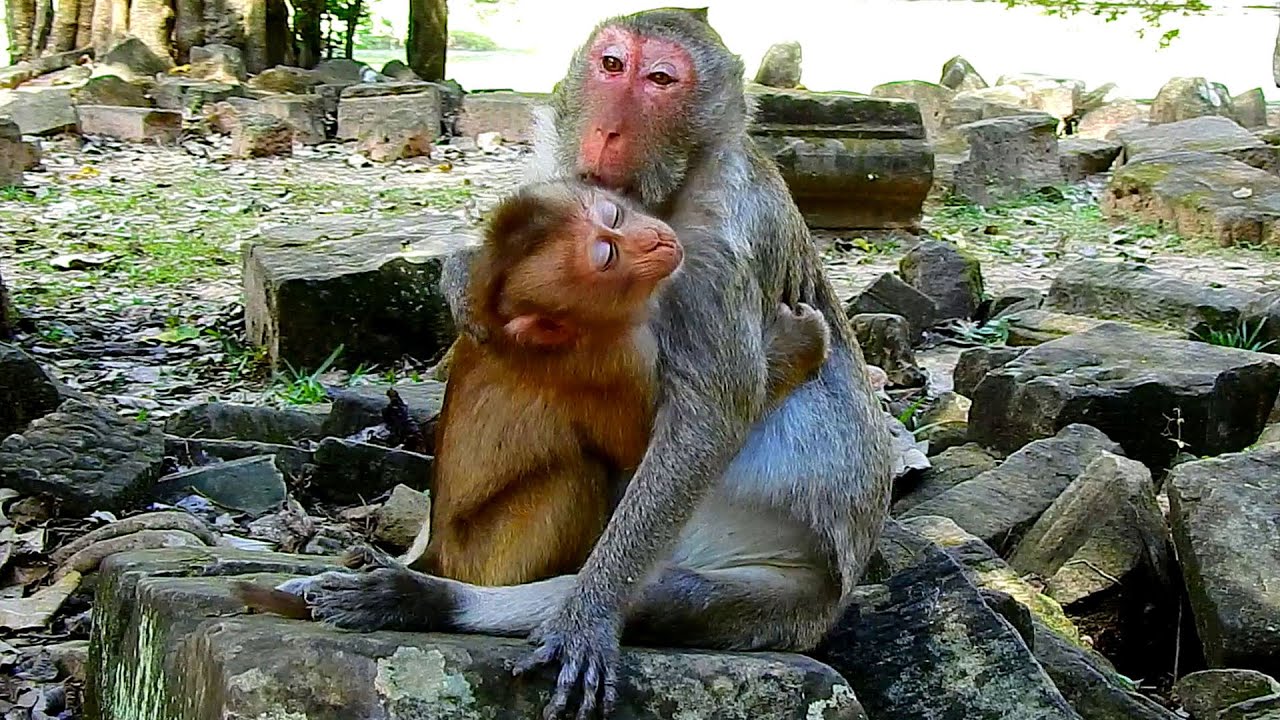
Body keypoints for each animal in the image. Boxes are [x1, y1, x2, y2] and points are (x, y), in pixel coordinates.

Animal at [266, 9, 893, 719]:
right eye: (612, 66)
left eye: (661, 79)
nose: (607, 130)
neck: (669, 191)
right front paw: (464, 282)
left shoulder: (722, 243)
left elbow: (704, 425)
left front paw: (588, 618)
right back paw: (415, 587)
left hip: (789, 602)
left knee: (666, 597)